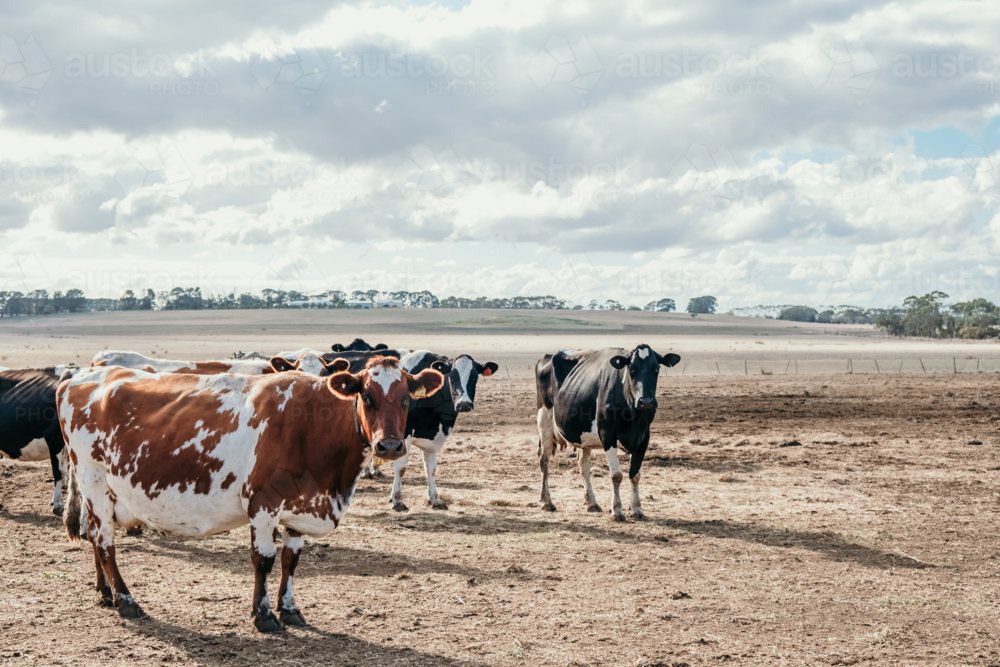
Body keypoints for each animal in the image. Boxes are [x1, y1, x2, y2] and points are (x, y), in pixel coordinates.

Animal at [59, 356, 444, 631]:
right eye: (366, 396)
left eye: (406, 399)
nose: (390, 446)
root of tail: (81, 375)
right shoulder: (263, 503)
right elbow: (265, 560)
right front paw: (263, 615)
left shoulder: (302, 504)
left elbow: (290, 560)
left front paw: (289, 609)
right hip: (94, 481)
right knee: (105, 542)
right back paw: (125, 600)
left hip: (101, 492)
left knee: (95, 534)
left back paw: (105, 592)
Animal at [366, 351, 498, 510]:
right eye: (452, 377)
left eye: (474, 377)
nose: (464, 404)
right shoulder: (402, 436)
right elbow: (401, 468)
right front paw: (397, 500)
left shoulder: (433, 439)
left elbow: (431, 469)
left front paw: (435, 499)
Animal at [535, 345, 680, 521]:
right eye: (631, 369)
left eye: (656, 369)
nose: (646, 402)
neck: (633, 415)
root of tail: (548, 355)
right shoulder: (607, 434)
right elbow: (616, 475)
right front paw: (617, 510)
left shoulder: (644, 436)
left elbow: (635, 474)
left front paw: (636, 508)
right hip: (544, 419)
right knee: (544, 460)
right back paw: (546, 502)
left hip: (583, 436)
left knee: (583, 466)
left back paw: (591, 503)